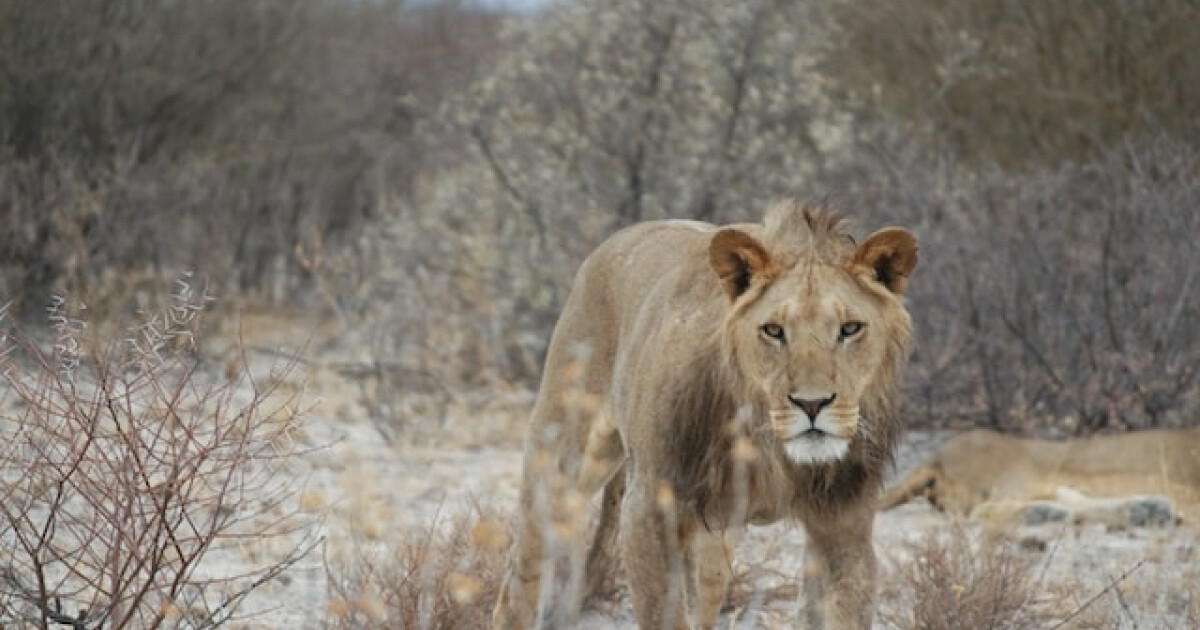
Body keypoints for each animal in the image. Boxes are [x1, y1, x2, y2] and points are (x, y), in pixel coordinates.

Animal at [492, 201, 919, 630]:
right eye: (773, 330)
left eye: (850, 328)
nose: (812, 404)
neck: (766, 441)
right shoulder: (647, 511)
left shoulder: (843, 526)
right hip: (562, 467)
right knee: (519, 580)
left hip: (713, 541)